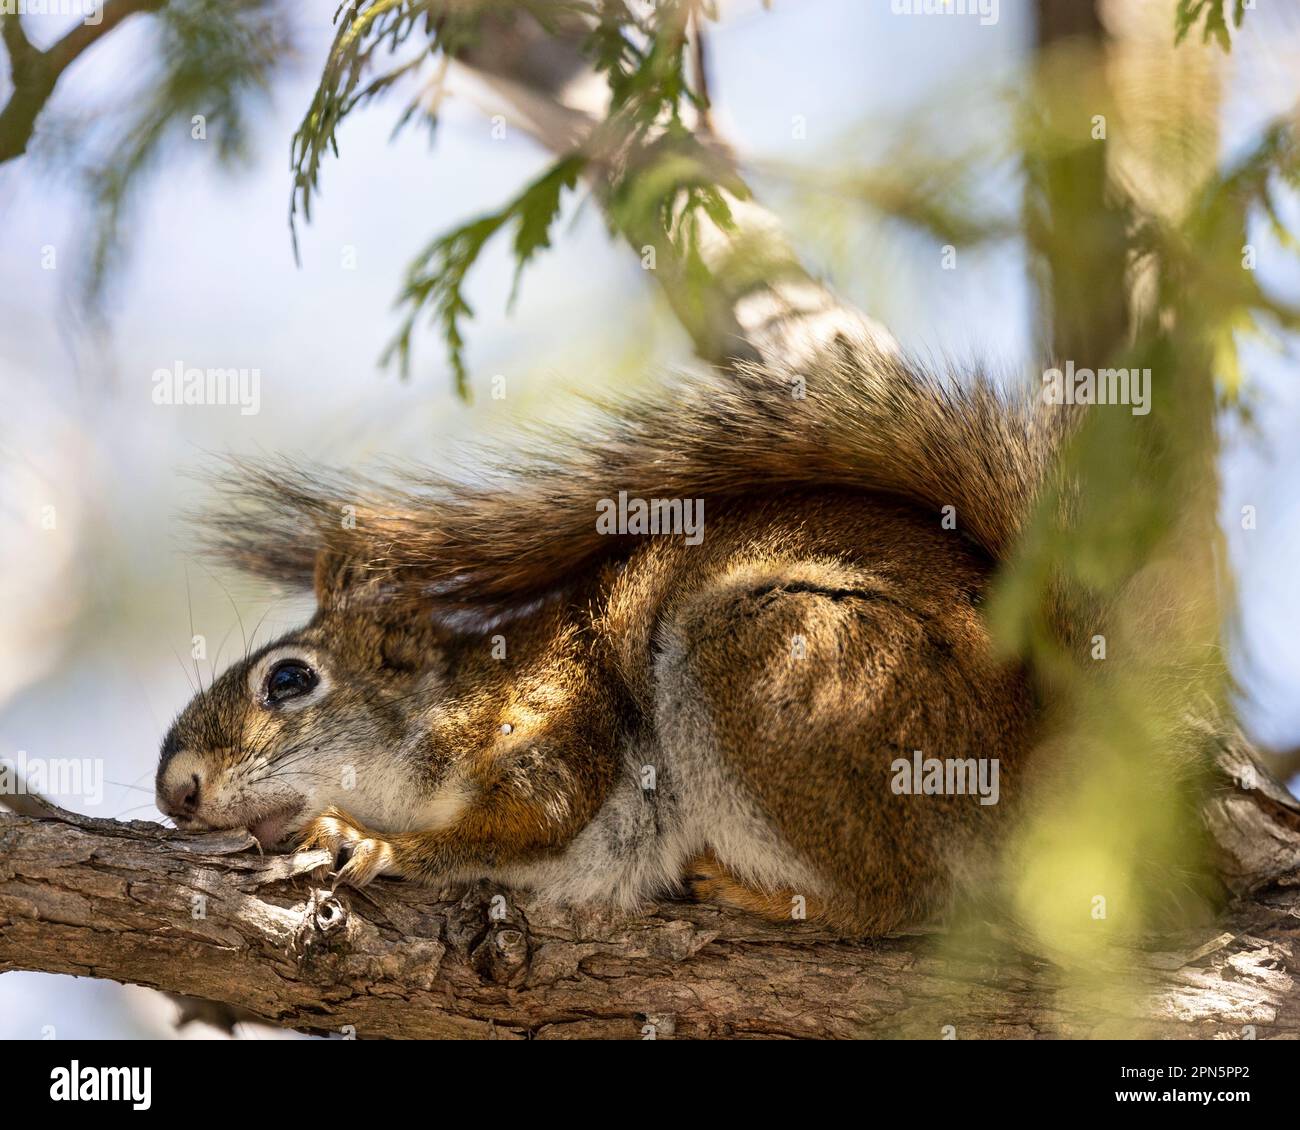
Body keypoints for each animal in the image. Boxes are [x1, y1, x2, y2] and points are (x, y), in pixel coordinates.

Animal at [156, 342, 1078, 935]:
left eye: (287, 680)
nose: (176, 794)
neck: (442, 706)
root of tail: (1042, 742)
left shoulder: (550, 719)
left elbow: (532, 818)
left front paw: (368, 839)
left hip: (764, 660)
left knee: (896, 902)